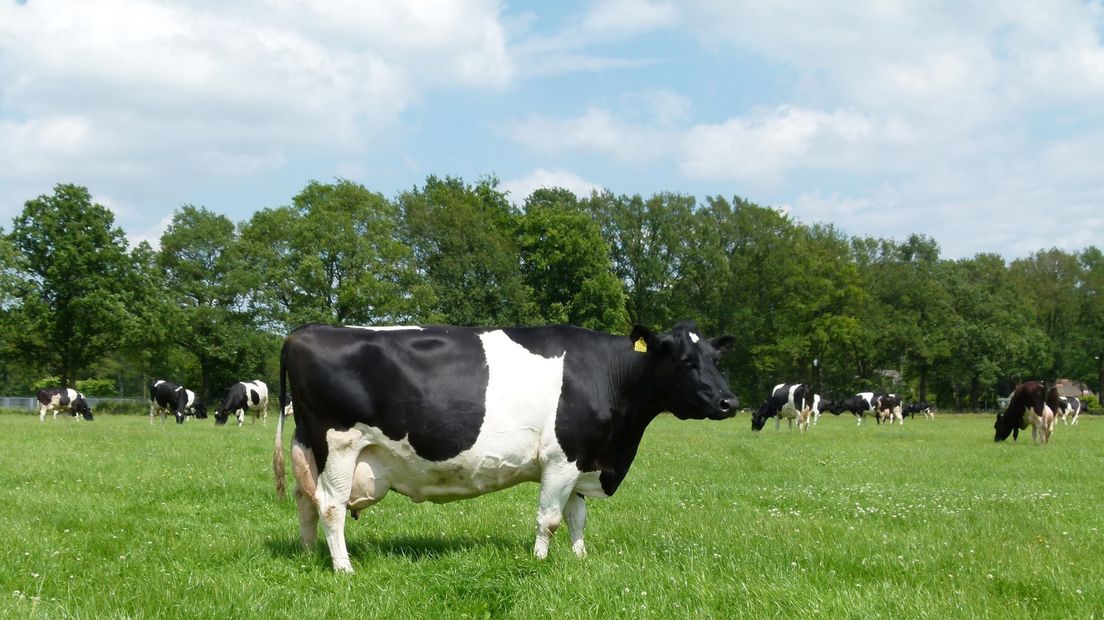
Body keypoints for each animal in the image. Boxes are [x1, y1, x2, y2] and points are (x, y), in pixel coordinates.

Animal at [272, 321, 738, 573]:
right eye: (684, 361)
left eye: (716, 360)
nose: (729, 402)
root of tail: (303, 332)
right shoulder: (562, 458)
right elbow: (550, 518)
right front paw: (540, 562)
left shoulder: (582, 457)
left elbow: (578, 517)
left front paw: (580, 558)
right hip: (340, 445)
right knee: (331, 506)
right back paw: (343, 568)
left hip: (308, 447)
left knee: (305, 501)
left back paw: (310, 555)